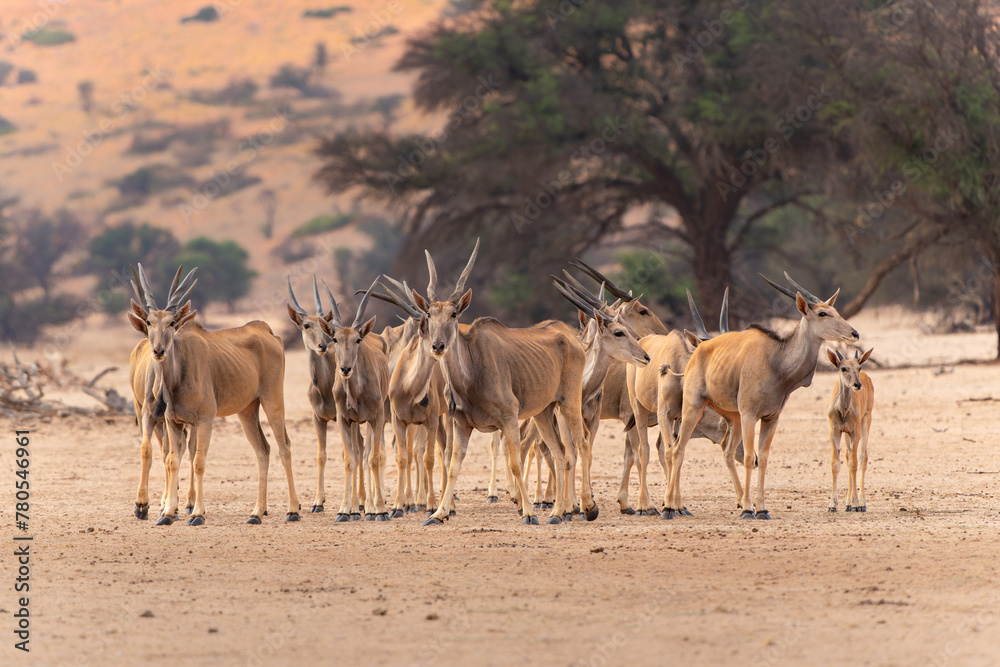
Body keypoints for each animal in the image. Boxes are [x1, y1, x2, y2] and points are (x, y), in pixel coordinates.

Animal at [128, 264, 300, 525]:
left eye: (172, 322)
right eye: (148, 321)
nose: (158, 351)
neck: (177, 378)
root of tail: (268, 331)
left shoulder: (205, 420)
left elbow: (199, 462)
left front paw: (197, 513)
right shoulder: (172, 421)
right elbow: (172, 459)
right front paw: (167, 513)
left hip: (272, 401)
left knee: (285, 446)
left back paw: (292, 510)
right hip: (247, 410)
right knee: (263, 450)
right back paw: (256, 513)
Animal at [318, 279, 392, 521]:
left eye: (357, 339)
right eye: (335, 339)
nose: (345, 369)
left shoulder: (376, 418)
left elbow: (374, 458)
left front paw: (379, 509)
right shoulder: (344, 420)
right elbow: (350, 459)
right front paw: (344, 510)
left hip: (374, 421)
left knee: (370, 455)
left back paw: (371, 507)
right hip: (354, 425)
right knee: (359, 455)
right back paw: (355, 508)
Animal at [413, 240, 590, 525]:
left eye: (454, 314)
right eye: (429, 314)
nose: (438, 346)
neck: (471, 373)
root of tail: (573, 339)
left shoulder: (509, 419)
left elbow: (516, 463)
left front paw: (528, 512)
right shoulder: (461, 425)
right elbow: (453, 467)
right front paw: (438, 513)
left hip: (569, 403)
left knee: (582, 444)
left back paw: (587, 507)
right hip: (543, 412)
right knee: (560, 453)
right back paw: (557, 512)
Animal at [664, 272, 860, 520]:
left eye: (834, 310)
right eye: (822, 313)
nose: (854, 333)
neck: (777, 361)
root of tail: (698, 351)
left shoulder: (770, 418)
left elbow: (763, 459)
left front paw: (762, 508)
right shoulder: (750, 415)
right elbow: (750, 458)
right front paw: (749, 509)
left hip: (733, 418)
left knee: (724, 451)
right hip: (694, 408)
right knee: (677, 450)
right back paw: (669, 507)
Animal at [826, 347, 875, 512]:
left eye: (858, 367)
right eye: (843, 368)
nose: (857, 384)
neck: (843, 411)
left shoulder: (855, 432)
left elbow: (854, 463)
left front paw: (856, 503)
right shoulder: (835, 431)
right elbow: (836, 464)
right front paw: (832, 505)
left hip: (866, 421)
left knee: (862, 457)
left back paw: (861, 502)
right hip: (846, 434)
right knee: (848, 458)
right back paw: (847, 503)